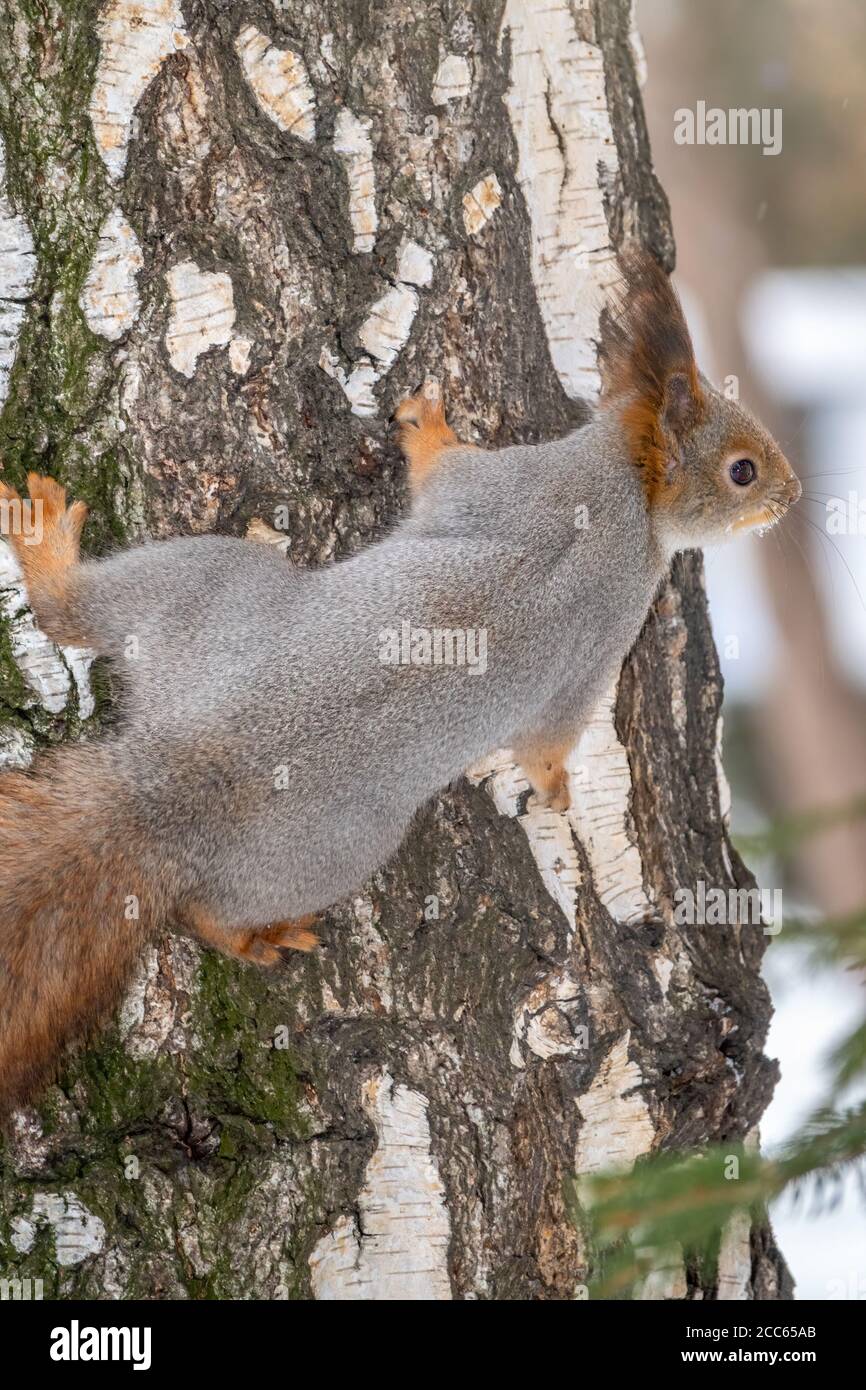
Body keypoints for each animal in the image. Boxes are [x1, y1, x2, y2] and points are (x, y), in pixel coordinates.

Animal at [0, 245, 800, 1112]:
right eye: (743, 469)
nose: (793, 496)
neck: (627, 481)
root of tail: (181, 777)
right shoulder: (557, 537)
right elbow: (544, 713)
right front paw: (428, 425)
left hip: (221, 631)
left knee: (80, 635)